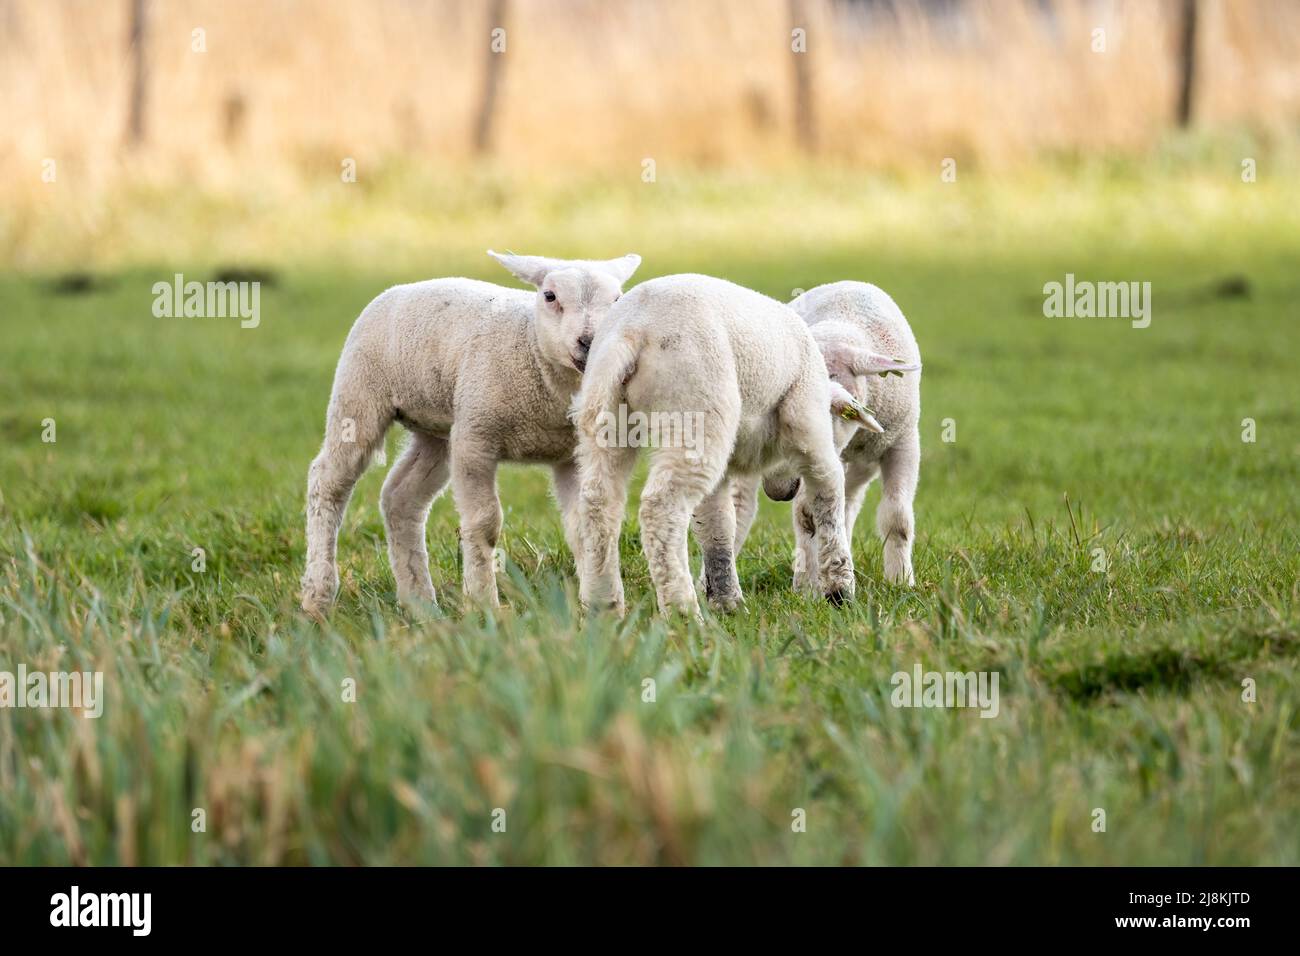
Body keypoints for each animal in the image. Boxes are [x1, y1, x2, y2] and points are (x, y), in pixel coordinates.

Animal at [300, 250, 642, 615]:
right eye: (550, 296)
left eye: (618, 299)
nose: (589, 342)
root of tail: (400, 288)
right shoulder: (475, 438)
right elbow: (485, 523)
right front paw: (482, 605)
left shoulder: (571, 455)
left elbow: (586, 525)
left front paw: (603, 607)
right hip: (359, 395)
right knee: (328, 481)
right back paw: (317, 595)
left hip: (437, 428)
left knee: (401, 497)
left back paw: (420, 604)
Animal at [571, 274, 865, 617]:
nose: (783, 493)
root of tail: (632, 330)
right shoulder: (808, 417)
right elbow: (828, 492)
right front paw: (839, 590)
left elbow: (717, 523)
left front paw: (727, 602)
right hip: (695, 405)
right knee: (661, 506)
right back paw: (682, 611)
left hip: (607, 415)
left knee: (598, 499)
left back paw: (603, 605)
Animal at [730, 281, 922, 589]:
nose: (778, 491)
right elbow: (807, 515)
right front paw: (808, 584)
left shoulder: (903, 443)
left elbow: (897, 518)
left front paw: (901, 581)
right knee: (744, 506)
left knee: (846, 506)